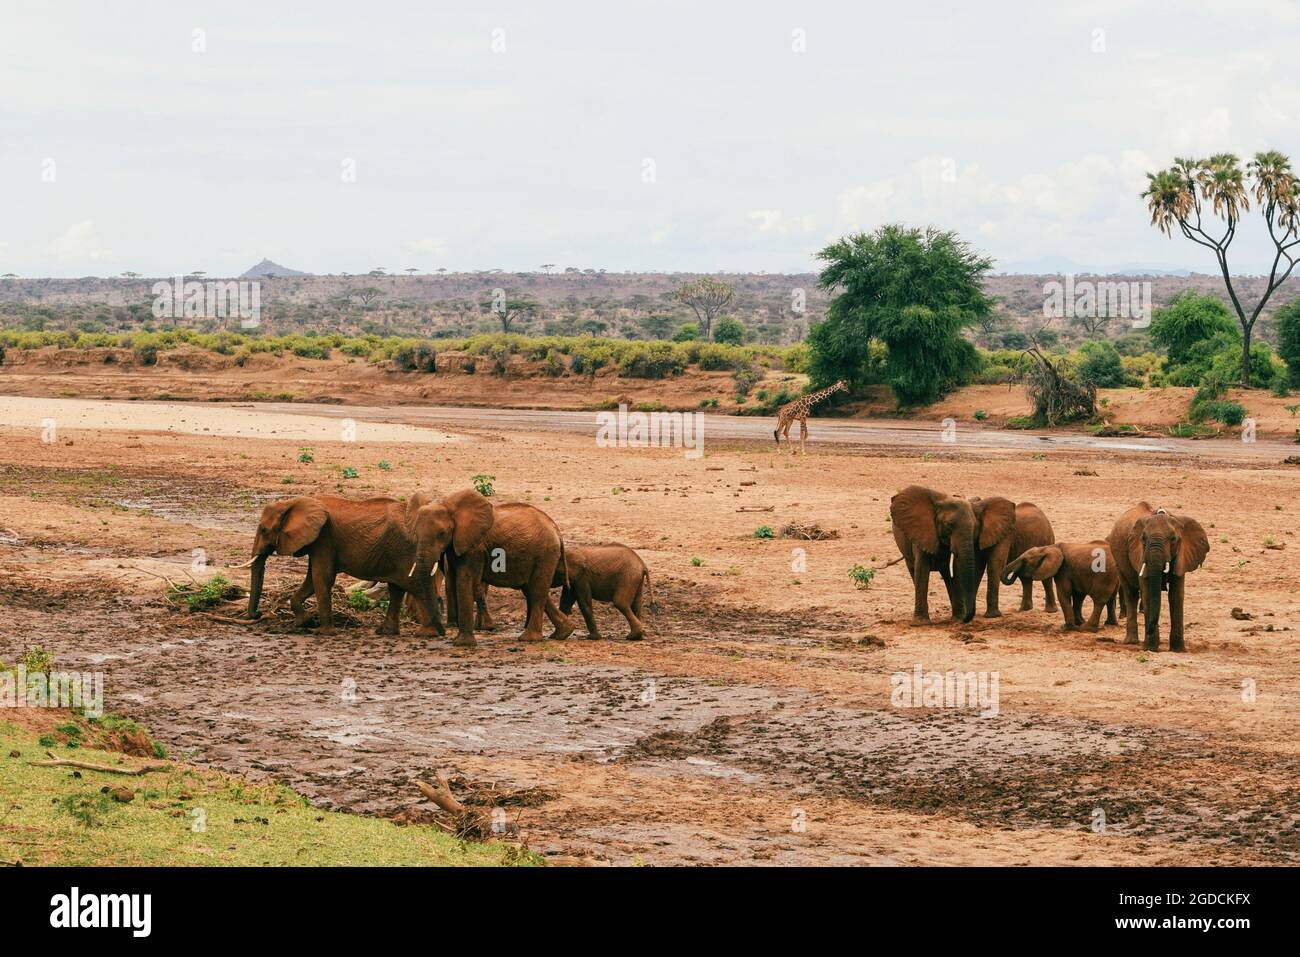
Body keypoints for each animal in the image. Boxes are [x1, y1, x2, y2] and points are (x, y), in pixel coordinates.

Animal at [240, 494, 442, 637]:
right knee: (396, 588)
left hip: (403, 549)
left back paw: (428, 633)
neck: (293, 502)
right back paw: (386, 632)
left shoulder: (324, 538)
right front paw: (304, 623)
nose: (258, 614)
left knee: (414, 585)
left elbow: (321, 577)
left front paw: (321, 632)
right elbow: (312, 579)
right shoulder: (318, 542)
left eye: (264, 530)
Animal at [410, 489, 574, 648]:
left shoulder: (474, 547)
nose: (442, 633)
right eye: (415, 532)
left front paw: (462, 644)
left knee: (537, 590)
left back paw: (529, 639)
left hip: (546, 553)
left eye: (442, 533)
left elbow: (464, 582)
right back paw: (563, 633)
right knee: (531, 588)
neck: (449, 504)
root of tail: (555, 527)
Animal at [890, 485, 983, 623]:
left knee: (946, 573)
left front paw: (958, 619)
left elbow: (956, 566)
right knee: (913, 570)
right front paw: (921, 622)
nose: (966, 619)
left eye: (976, 527)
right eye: (949, 525)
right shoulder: (921, 531)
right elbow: (921, 568)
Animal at [1107, 503, 1209, 651]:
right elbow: (1148, 593)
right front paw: (1150, 648)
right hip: (1118, 557)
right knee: (1130, 592)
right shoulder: (1139, 554)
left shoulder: (1181, 557)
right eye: (1143, 539)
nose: (1150, 628)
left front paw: (1178, 650)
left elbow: (1176, 595)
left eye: (1173, 539)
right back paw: (1131, 642)